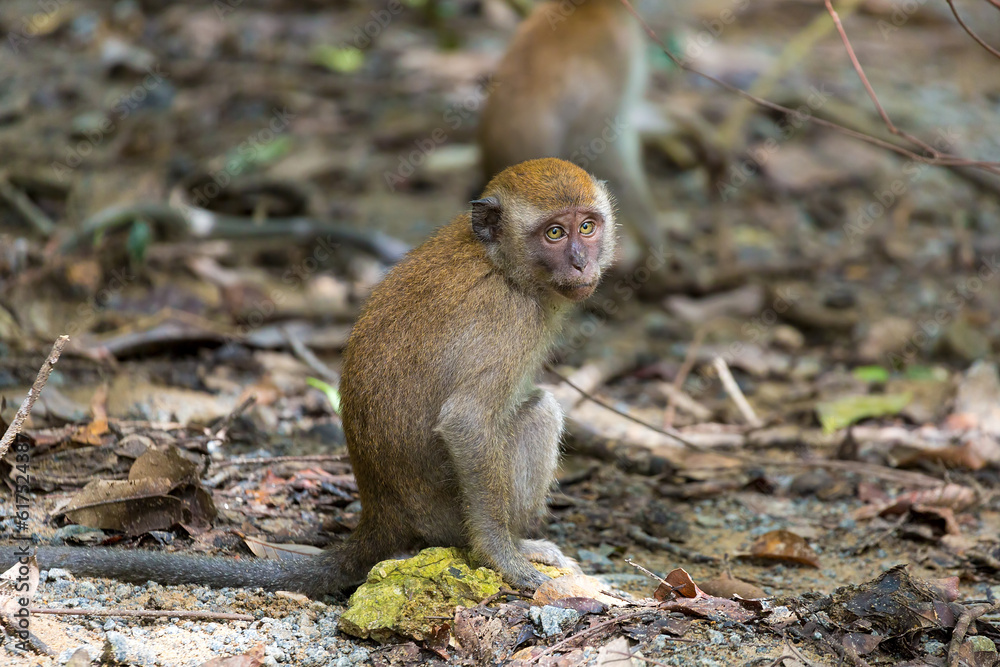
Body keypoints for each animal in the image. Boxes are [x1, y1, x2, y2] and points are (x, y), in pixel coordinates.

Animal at [9, 158, 617, 598]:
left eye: (587, 226)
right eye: (555, 233)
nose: (582, 263)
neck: (504, 266)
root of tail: (380, 513)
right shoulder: (507, 321)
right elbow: (466, 421)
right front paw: (503, 556)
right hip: (445, 515)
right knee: (540, 411)